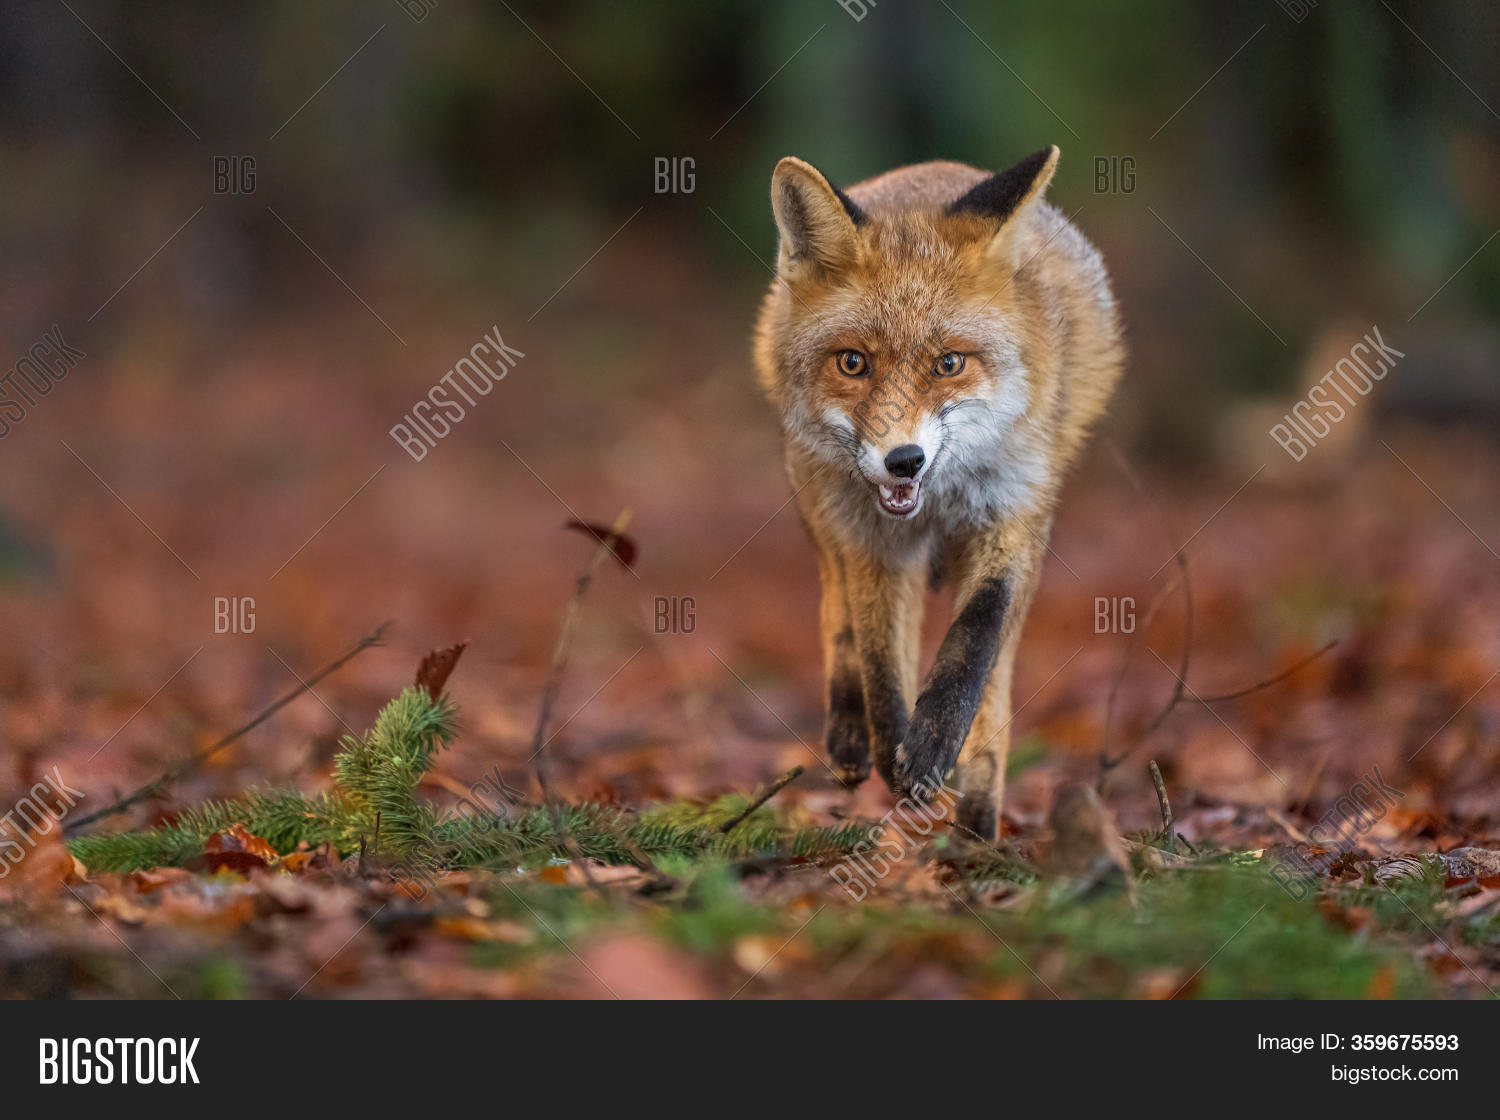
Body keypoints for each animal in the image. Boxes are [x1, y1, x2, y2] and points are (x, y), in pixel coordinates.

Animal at [753, 147, 1123, 841]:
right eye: (853, 362)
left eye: (948, 363)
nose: (903, 460)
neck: (940, 498)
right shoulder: (874, 538)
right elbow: (878, 660)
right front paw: (890, 747)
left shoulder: (1015, 511)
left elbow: (976, 639)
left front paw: (932, 746)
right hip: (817, 494)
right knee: (835, 605)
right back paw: (849, 733)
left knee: (997, 676)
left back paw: (978, 817)